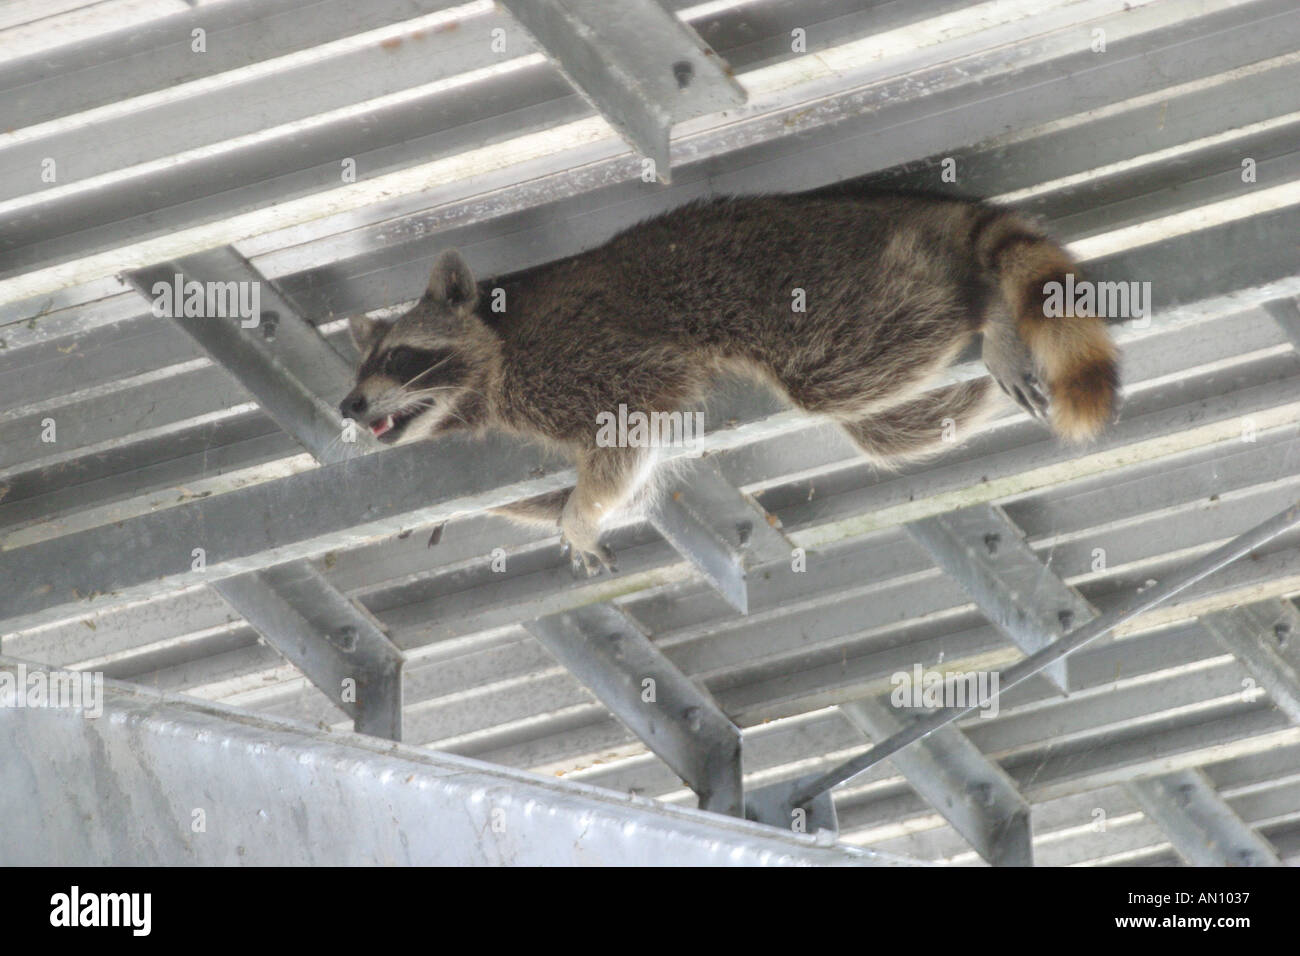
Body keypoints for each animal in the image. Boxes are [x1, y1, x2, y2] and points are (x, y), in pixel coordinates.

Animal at [339, 191, 1119, 575]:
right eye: (360, 366)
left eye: (399, 357)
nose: (347, 404)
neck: (496, 353)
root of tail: (899, 210)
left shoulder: (573, 355)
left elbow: (635, 417)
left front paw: (580, 515)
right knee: (893, 426)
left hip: (810, 296)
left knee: (848, 366)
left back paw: (987, 311)